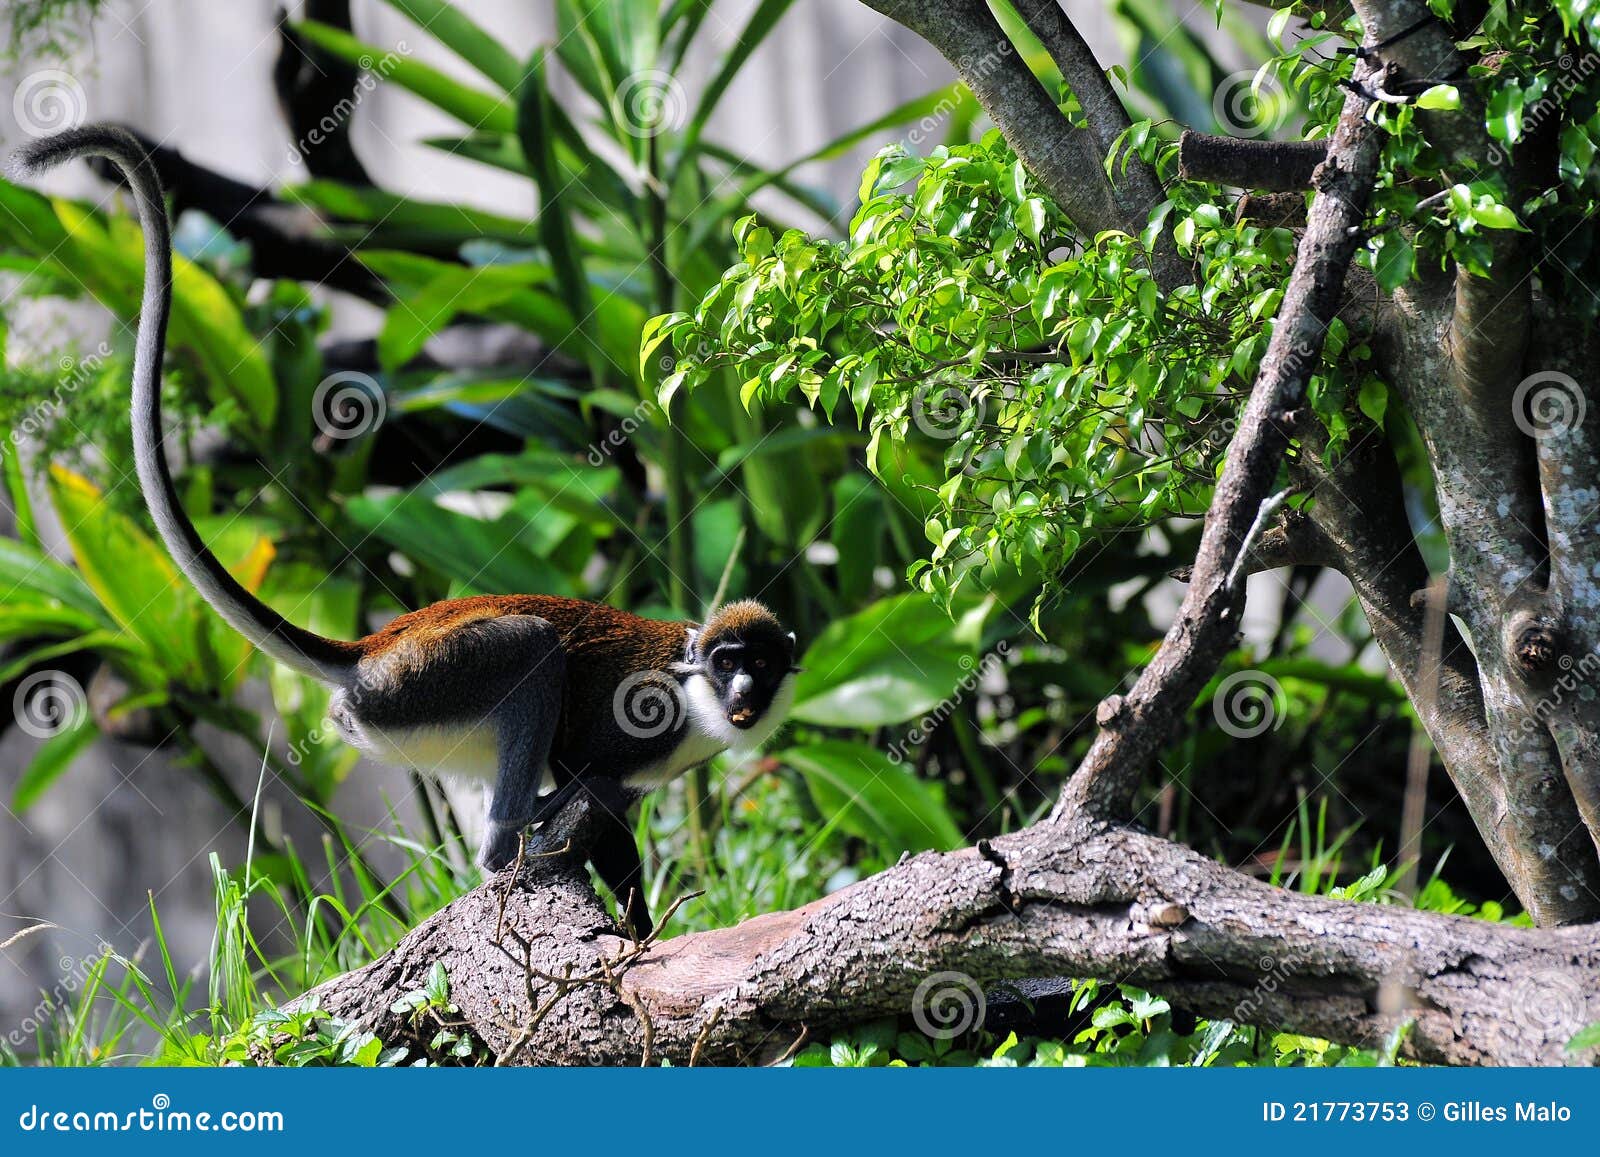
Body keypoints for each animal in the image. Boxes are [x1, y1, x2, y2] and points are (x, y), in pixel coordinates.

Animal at [14, 125, 798, 937]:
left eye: (761, 663)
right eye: (728, 661)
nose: (744, 685)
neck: (696, 696)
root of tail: (372, 647)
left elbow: (616, 821)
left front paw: (643, 935)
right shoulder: (635, 727)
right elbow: (595, 781)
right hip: (418, 684)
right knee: (531, 652)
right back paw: (506, 841)